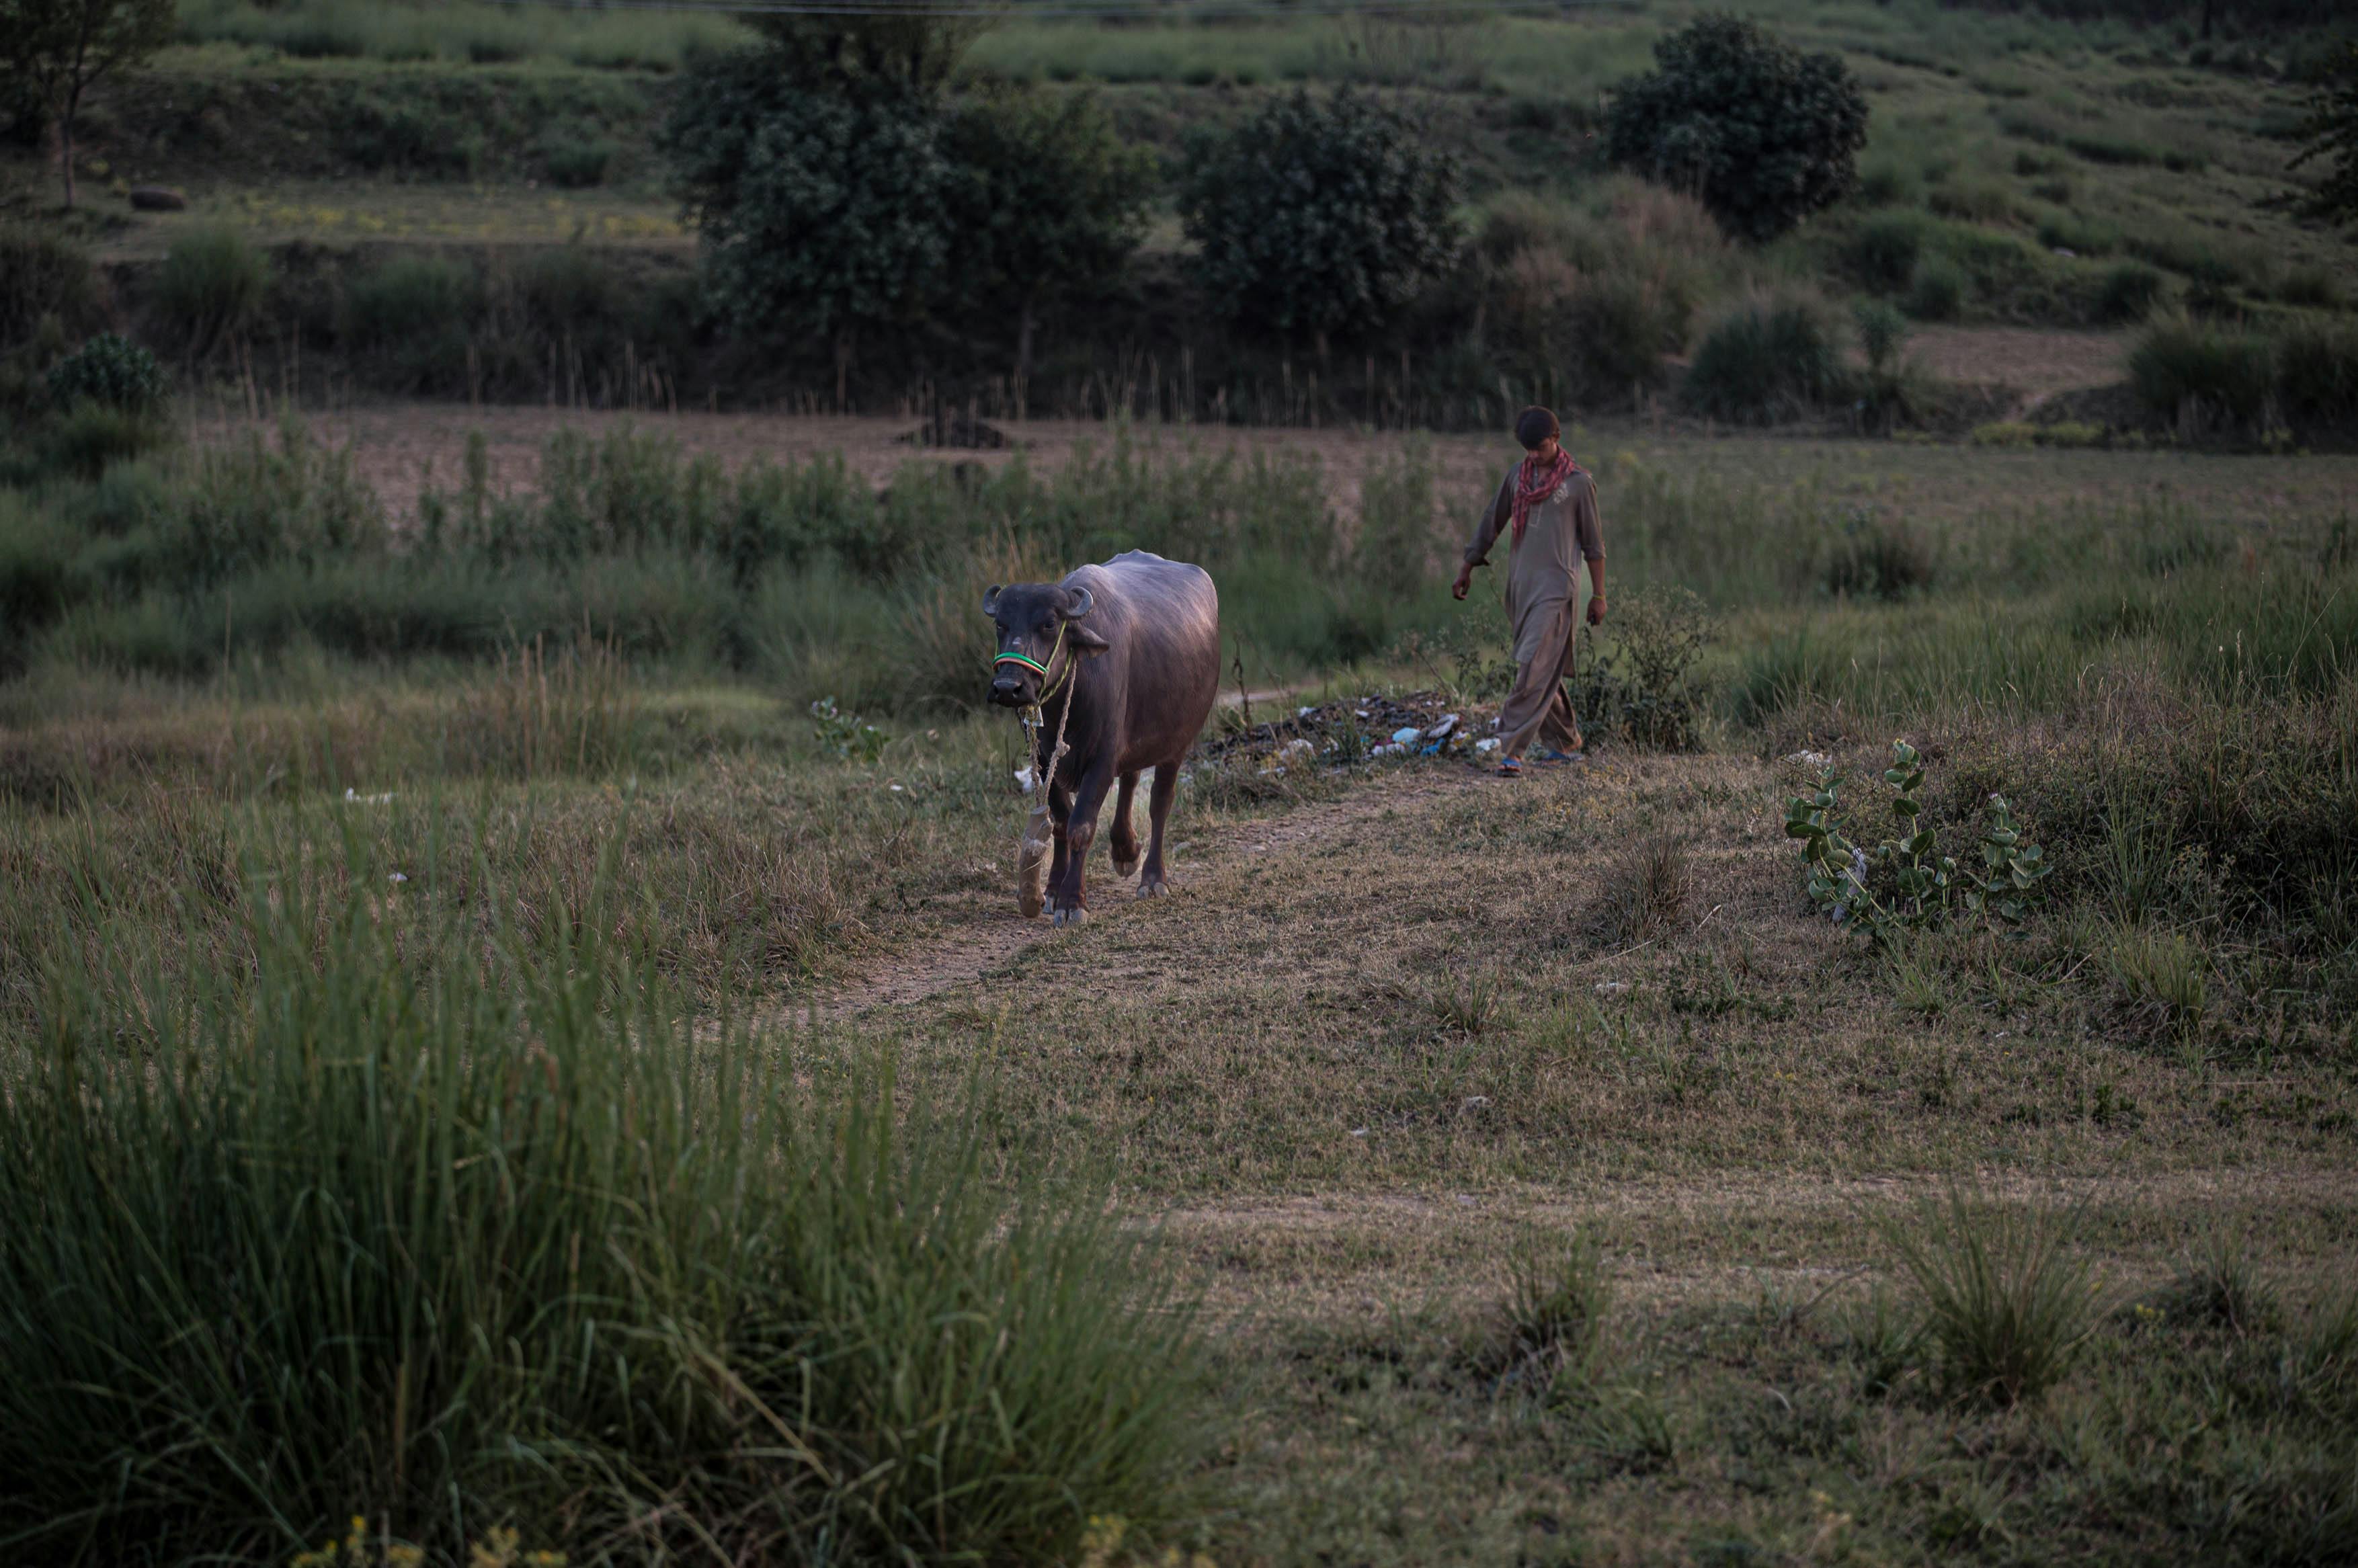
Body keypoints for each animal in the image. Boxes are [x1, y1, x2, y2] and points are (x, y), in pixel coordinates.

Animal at [984, 550, 1220, 926]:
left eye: (1049, 624)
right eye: (1000, 625)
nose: (1008, 687)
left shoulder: (1103, 756)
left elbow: (1081, 825)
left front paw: (1072, 902)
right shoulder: (1045, 759)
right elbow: (1061, 822)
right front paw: (1052, 890)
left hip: (1177, 744)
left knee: (1160, 803)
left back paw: (1153, 878)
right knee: (1131, 780)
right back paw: (1125, 849)